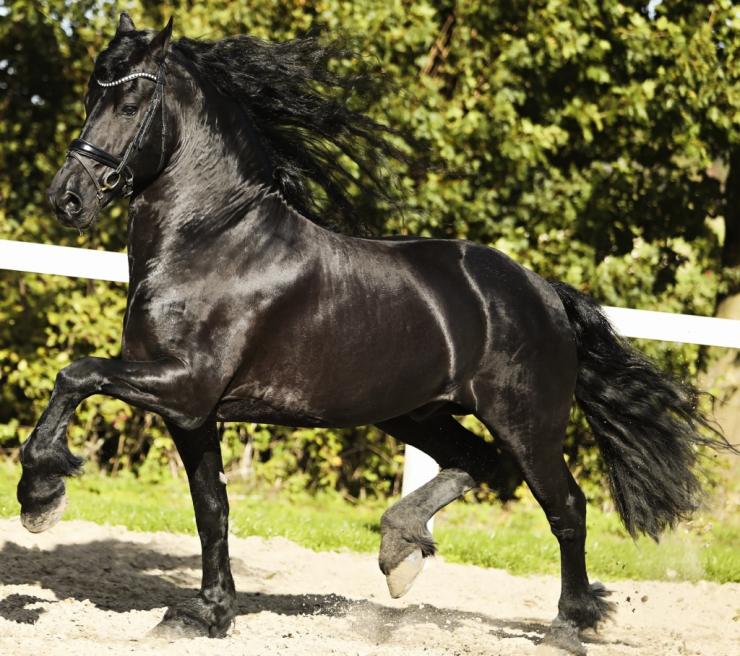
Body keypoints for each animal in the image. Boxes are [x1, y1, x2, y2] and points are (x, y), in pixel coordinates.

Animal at [22, 13, 729, 653]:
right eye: (90, 94)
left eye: (130, 100)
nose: (68, 198)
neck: (210, 242)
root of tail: (542, 291)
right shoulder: (192, 413)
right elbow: (211, 511)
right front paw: (207, 615)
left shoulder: (185, 385)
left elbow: (76, 373)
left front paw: (40, 494)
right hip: (414, 412)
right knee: (476, 462)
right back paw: (399, 551)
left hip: (526, 423)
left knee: (566, 507)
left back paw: (568, 623)